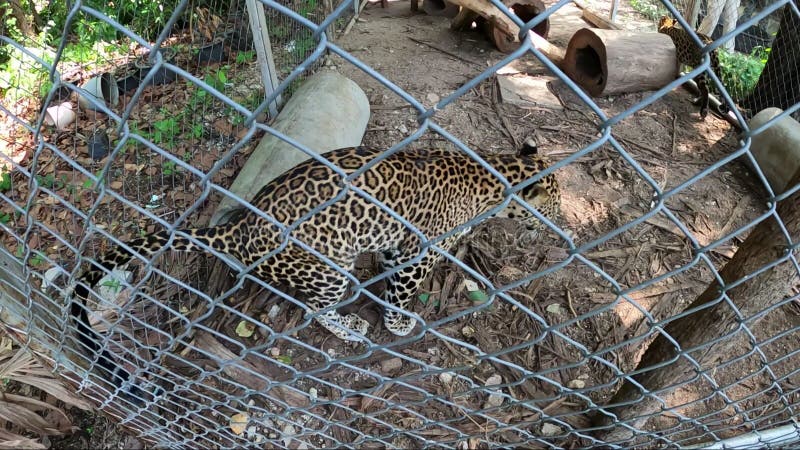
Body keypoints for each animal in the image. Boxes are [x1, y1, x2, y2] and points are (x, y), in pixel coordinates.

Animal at [70, 141, 560, 390]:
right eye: (554, 205)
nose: (561, 229)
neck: (492, 182)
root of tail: (240, 229)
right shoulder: (418, 253)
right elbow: (401, 294)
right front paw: (400, 323)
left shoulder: (395, 245)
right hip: (330, 269)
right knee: (314, 309)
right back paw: (352, 329)